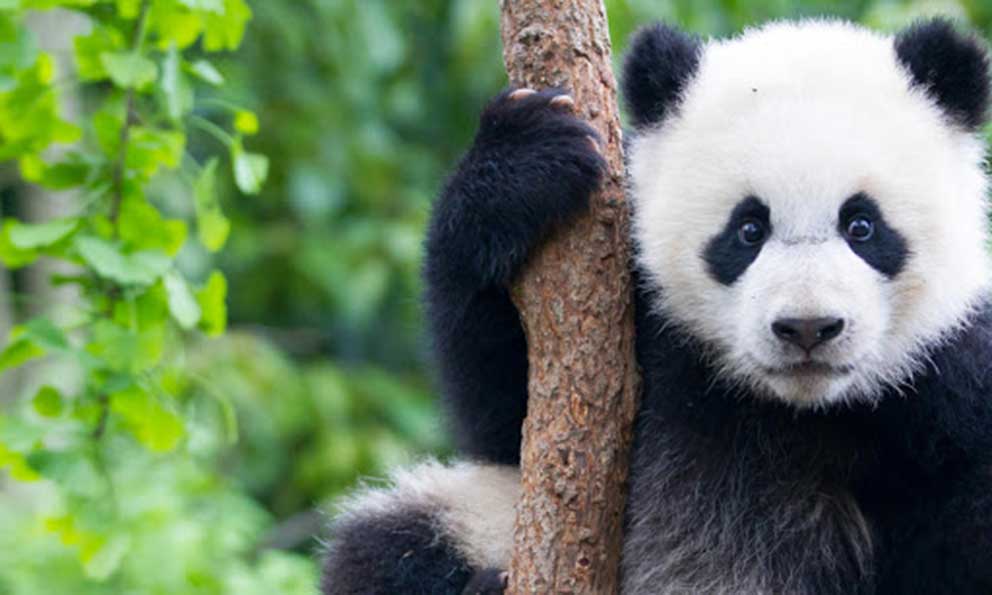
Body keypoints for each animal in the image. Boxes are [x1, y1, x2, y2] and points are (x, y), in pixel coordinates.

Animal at [321, 18, 992, 595]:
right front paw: (522, 159)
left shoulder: (953, 376)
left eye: (862, 226)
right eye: (748, 230)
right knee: (385, 547)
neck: (795, 409)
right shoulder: (645, 324)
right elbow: (500, 412)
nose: (807, 328)